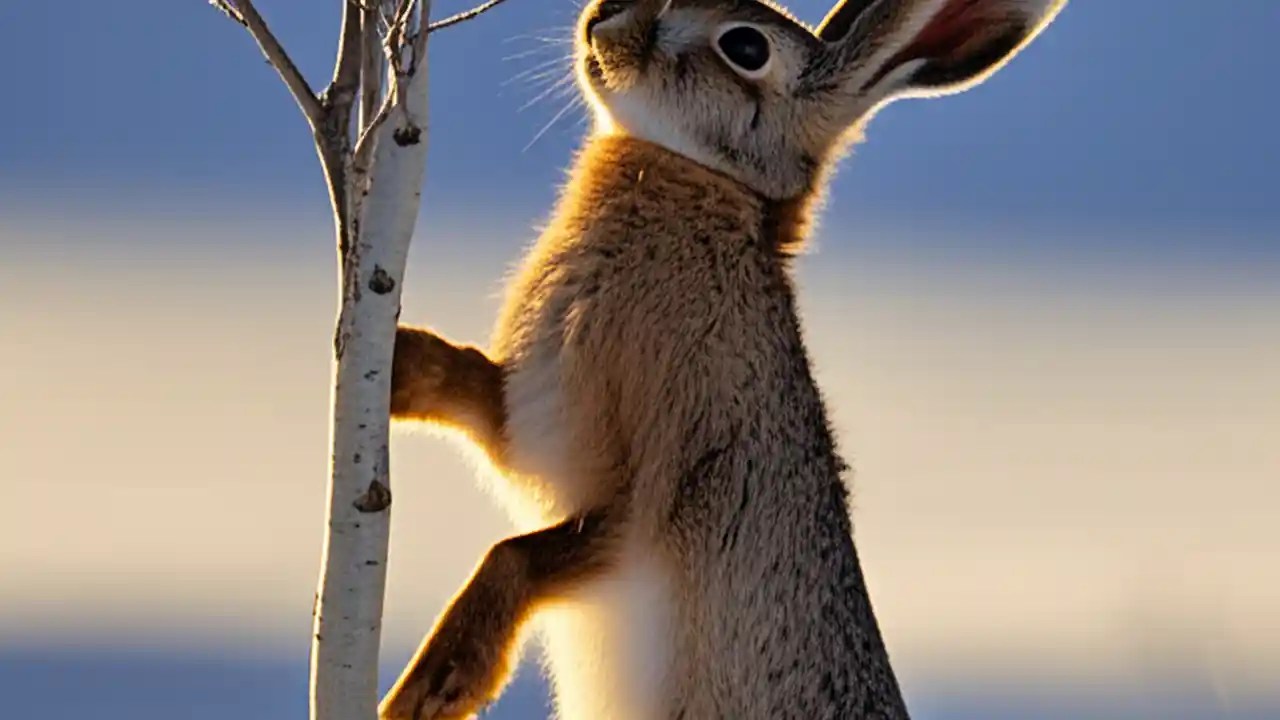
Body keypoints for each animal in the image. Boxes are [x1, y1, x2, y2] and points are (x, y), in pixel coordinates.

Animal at [379, 0, 1067, 718]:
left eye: (746, 47)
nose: (602, 17)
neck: (708, 183)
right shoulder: (531, 413)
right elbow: (464, 381)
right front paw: (394, 365)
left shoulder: (660, 484)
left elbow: (518, 554)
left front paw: (432, 689)